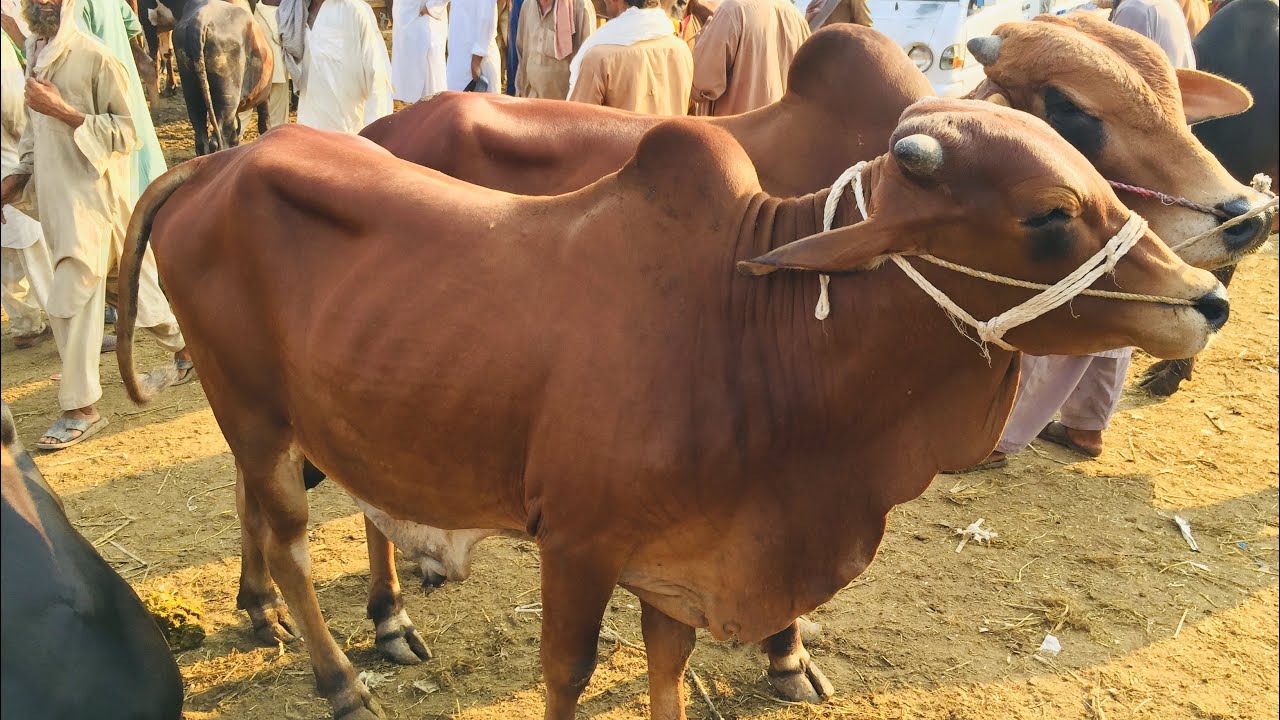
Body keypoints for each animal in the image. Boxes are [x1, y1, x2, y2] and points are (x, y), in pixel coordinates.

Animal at [115, 99, 1227, 720]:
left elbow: (665, 674)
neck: (749, 332)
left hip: (298, 414)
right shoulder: (578, 546)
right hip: (254, 410)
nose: (1207, 299)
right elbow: (566, 676)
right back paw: (336, 671)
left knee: (274, 509)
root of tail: (214, 162)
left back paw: (297, 617)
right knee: (291, 536)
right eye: (1048, 213)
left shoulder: (682, 558)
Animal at [165, 0, 273, 154]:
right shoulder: (265, 95)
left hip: (191, 93)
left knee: (201, 139)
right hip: (227, 97)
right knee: (219, 139)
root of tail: (200, 19)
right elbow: (265, 124)